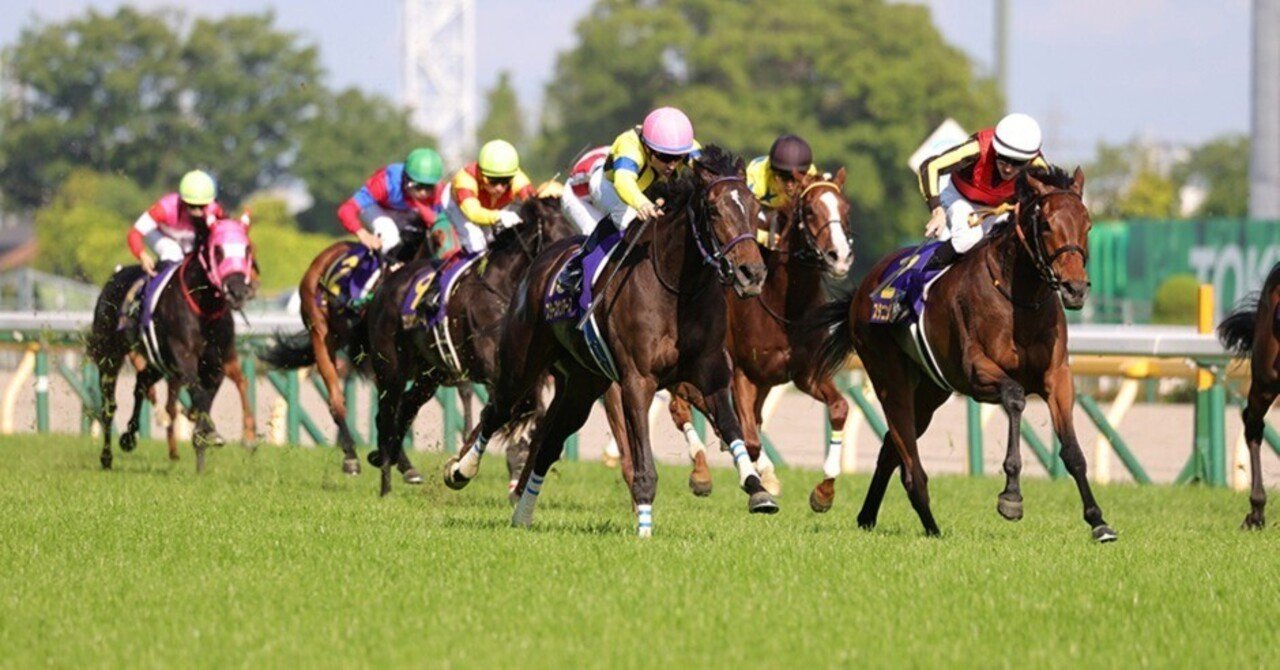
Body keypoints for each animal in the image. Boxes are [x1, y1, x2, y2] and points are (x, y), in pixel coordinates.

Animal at [89, 217, 256, 473]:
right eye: (217, 250)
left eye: (247, 249)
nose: (238, 291)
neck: (203, 307)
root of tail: (116, 275)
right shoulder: (183, 356)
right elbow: (197, 393)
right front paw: (201, 432)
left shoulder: (216, 363)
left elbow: (205, 399)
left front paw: (204, 441)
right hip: (110, 354)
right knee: (109, 406)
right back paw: (106, 457)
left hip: (158, 362)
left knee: (141, 383)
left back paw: (129, 437)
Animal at [363, 194, 578, 497]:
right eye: (558, 236)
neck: (503, 288)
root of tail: (388, 283)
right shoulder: (494, 370)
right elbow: (508, 411)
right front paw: (463, 466)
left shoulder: (527, 375)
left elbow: (525, 413)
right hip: (390, 368)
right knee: (386, 414)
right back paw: (385, 482)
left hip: (430, 374)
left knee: (407, 406)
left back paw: (392, 459)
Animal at [442, 145, 777, 536]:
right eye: (713, 210)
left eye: (754, 208)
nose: (752, 274)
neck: (677, 288)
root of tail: (540, 263)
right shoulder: (636, 380)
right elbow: (642, 457)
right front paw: (644, 526)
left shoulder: (710, 371)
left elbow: (731, 426)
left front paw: (757, 489)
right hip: (522, 363)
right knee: (497, 410)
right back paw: (460, 470)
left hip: (583, 383)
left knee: (549, 442)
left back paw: (522, 515)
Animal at [644, 170, 854, 502]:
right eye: (809, 210)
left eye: (845, 209)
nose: (840, 257)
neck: (783, 304)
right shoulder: (742, 374)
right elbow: (749, 438)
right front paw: (756, 479)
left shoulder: (806, 374)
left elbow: (839, 409)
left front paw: (824, 490)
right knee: (684, 407)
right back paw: (702, 472)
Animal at [809, 166, 1117, 542]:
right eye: (1046, 225)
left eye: (1087, 224)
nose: (1075, 288)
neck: (1019, 299)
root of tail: (862, 289)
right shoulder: (977, 372)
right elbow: (1015, 396)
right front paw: (1011, 497)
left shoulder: (1058, 376)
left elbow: (1072, 451)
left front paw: (1098, 520)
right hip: (888, 376)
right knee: (907, 457)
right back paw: (928, 523)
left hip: (930, 392)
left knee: (890, 447)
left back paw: (868, 517)